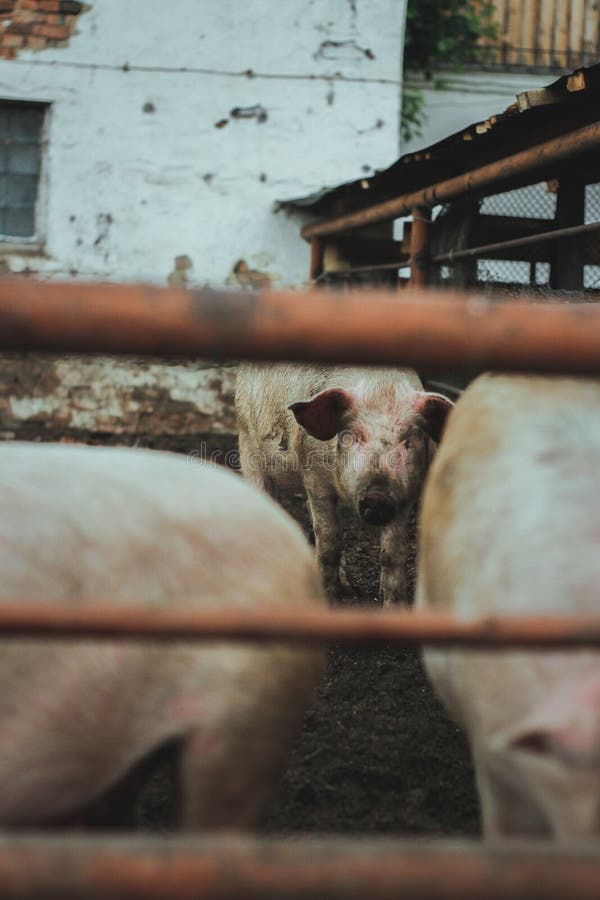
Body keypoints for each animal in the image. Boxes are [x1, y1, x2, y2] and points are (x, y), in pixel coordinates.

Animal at [236, 363, 453, 606]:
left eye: (407, 440)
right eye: (354, 436)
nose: (377, 497)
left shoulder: (406, 496)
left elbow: (393, 554)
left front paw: (393, 605)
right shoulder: (315, 479)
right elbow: (329, 543)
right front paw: (330, 600)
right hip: (247, 443)